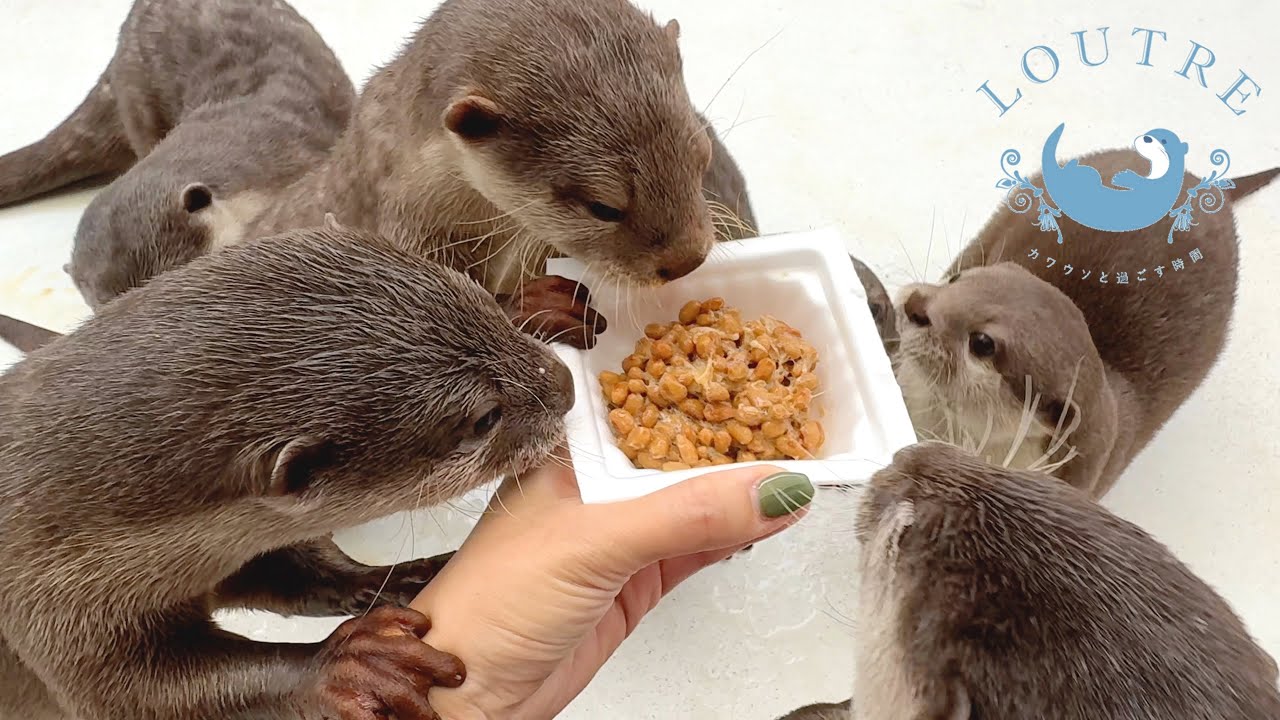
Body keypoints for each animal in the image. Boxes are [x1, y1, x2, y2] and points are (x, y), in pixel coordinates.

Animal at [0, 225, 574, 719]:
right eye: (485, 418)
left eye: (483, 301)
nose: (565, 385)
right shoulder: (48, 607)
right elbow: (132, 695)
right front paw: (348, 667)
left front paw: (399, 578)